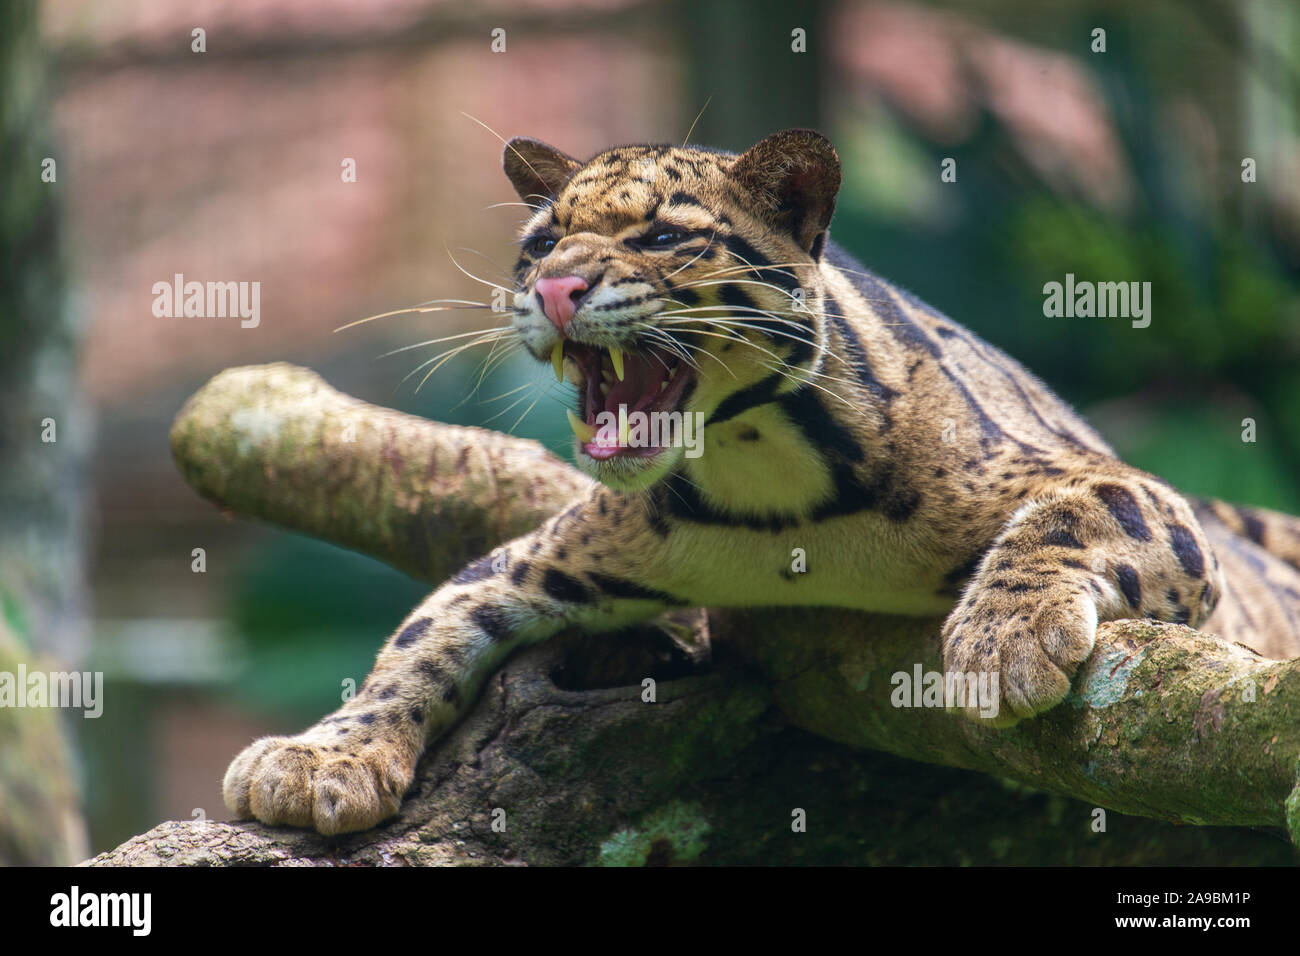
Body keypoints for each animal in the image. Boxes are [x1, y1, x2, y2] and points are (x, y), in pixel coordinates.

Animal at [222, 129, 1300, 835]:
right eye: (538, 244)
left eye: (662, 238)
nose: (554, 288)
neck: (763, 469)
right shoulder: (545, 556)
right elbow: (421, 635)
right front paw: (323, 754)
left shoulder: (1127, 489)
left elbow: (1073, 512)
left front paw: (1002, 637)